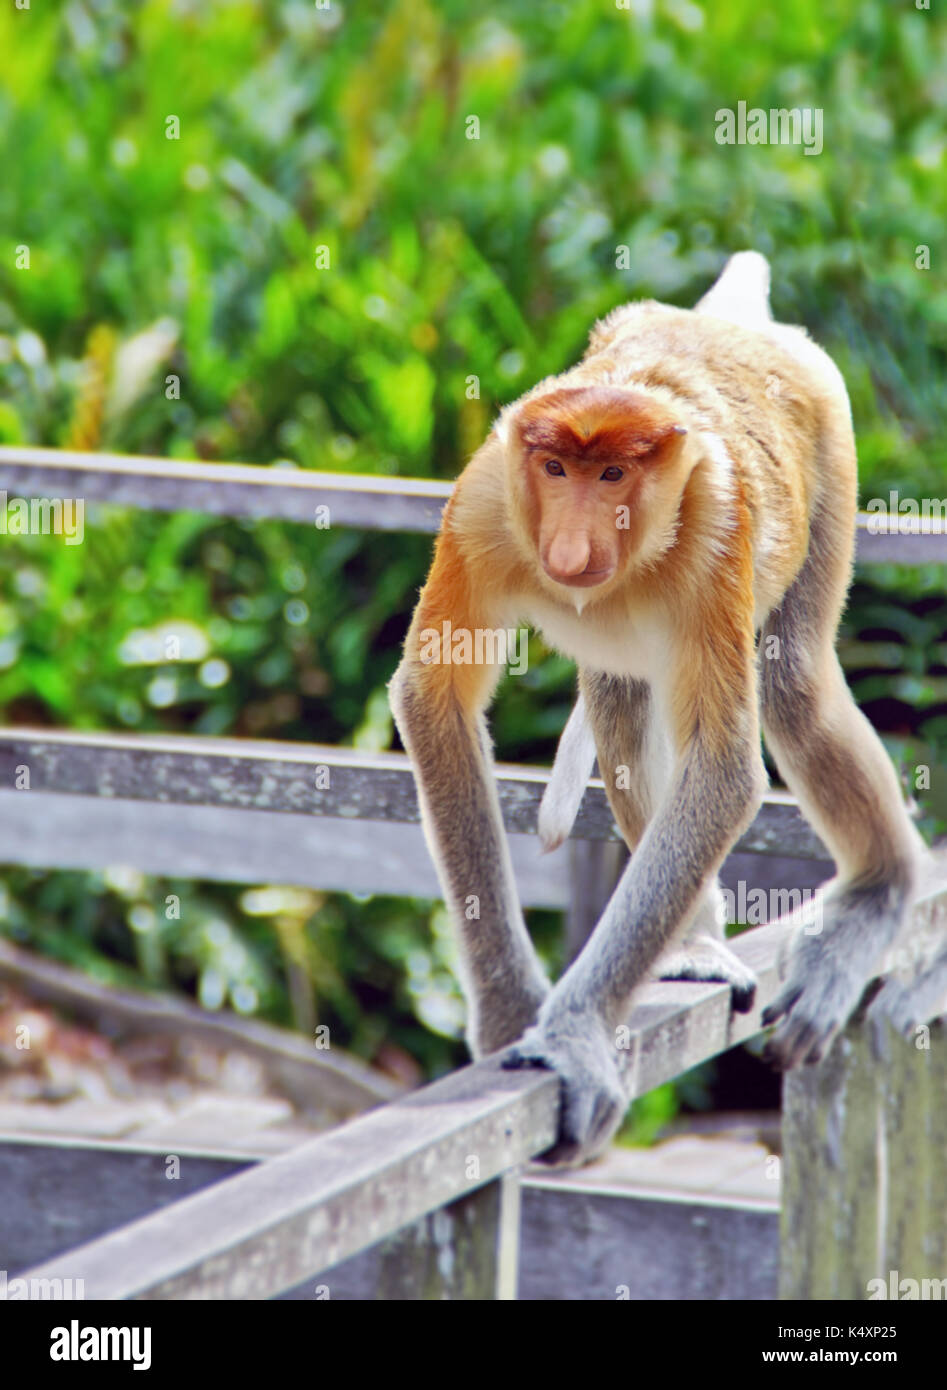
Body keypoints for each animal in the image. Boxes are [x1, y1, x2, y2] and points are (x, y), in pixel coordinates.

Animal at [388, 251, 928, 1166]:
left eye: (613, 474)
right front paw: (508, 1013)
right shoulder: (486, 504)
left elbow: (722, 763)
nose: (570, 549)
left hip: (827, 430)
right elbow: (436, 695)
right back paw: (690, 950)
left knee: (795, 688)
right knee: (624, 696)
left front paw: (570, 1037)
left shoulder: (712, 535)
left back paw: (872, 901)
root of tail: (722, 322)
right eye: (556, 471)